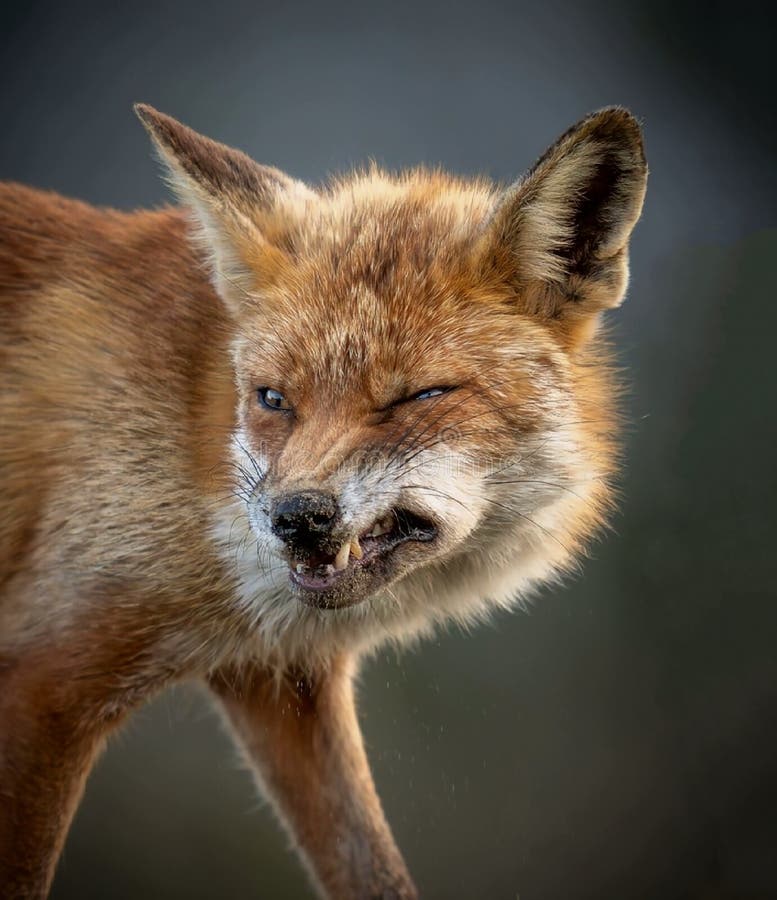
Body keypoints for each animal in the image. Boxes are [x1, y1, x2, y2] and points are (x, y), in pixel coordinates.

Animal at [0, 103, 647, 898]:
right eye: (273, 399)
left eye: (418, 396)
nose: (294, 517)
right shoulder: (42, 673)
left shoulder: (284, 683)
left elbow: (371, 868)